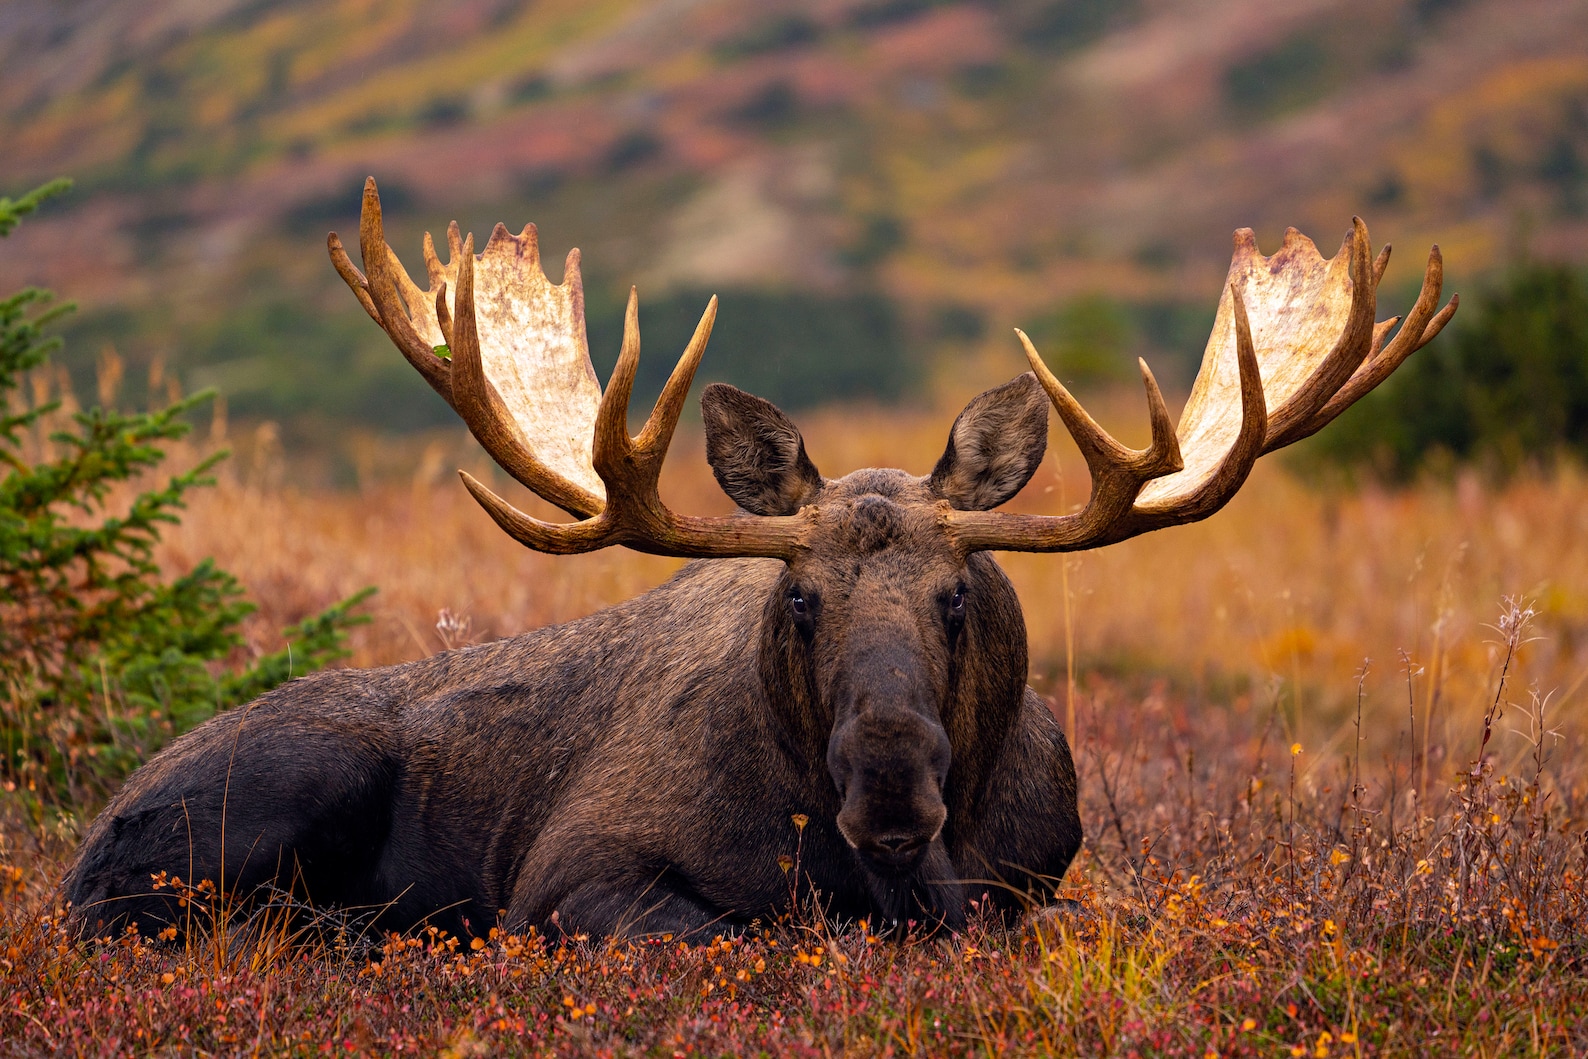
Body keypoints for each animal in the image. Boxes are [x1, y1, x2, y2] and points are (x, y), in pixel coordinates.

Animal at [63, 178, 1456, 941]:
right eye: (796, 600)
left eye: (958, 598)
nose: (890, 792)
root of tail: (86, 839)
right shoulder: (568, 874)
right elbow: (754, 939)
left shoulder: (1038, 881)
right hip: (266, 796)